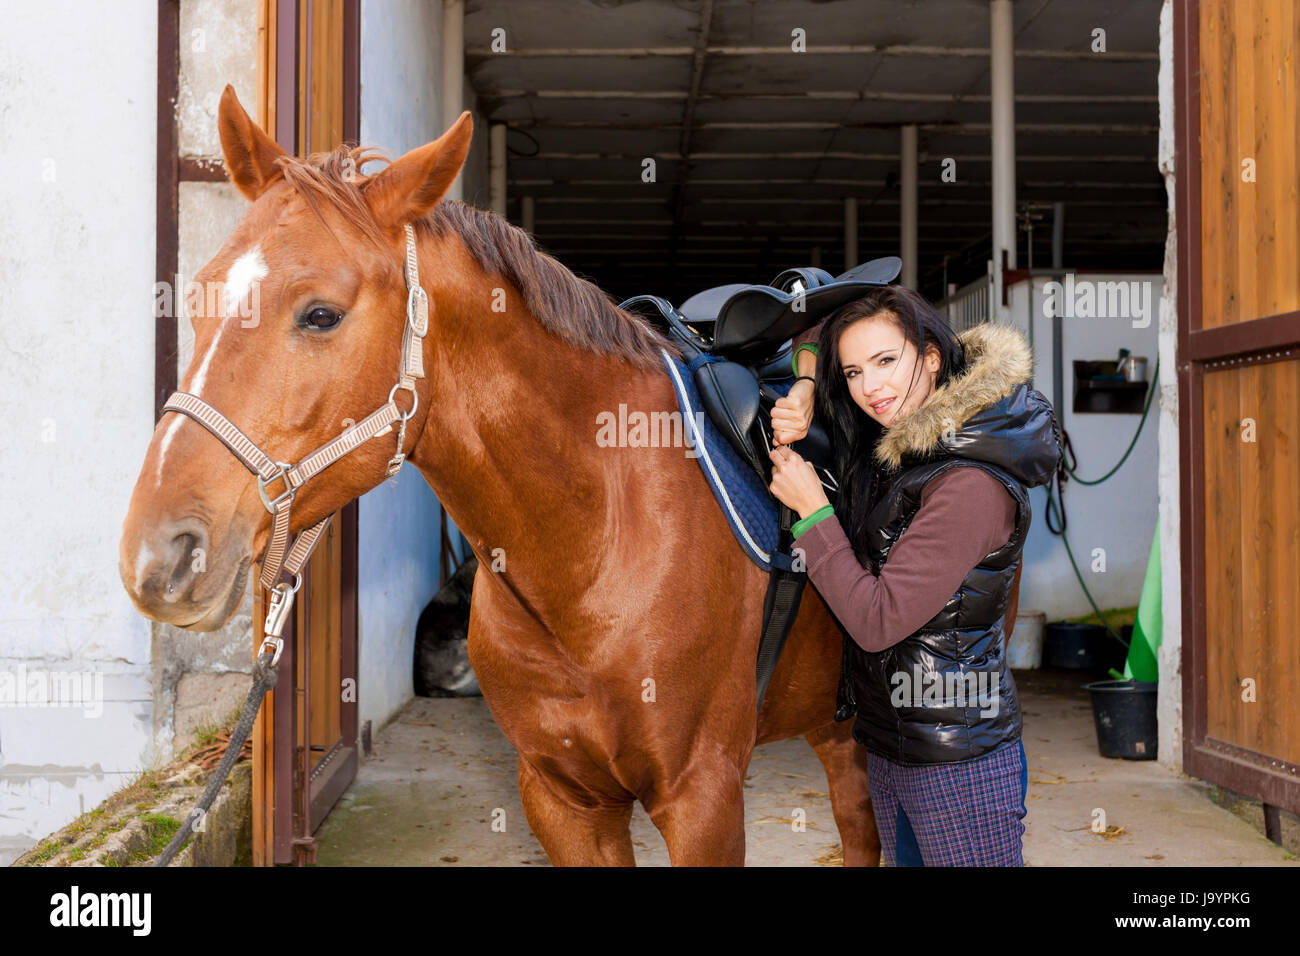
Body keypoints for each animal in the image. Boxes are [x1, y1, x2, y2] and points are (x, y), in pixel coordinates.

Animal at [120, 86, 993, 866]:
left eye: (321, 314)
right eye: (196, 295)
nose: (159, 556)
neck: (594, 543)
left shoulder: (703, 798)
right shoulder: (561, 798)